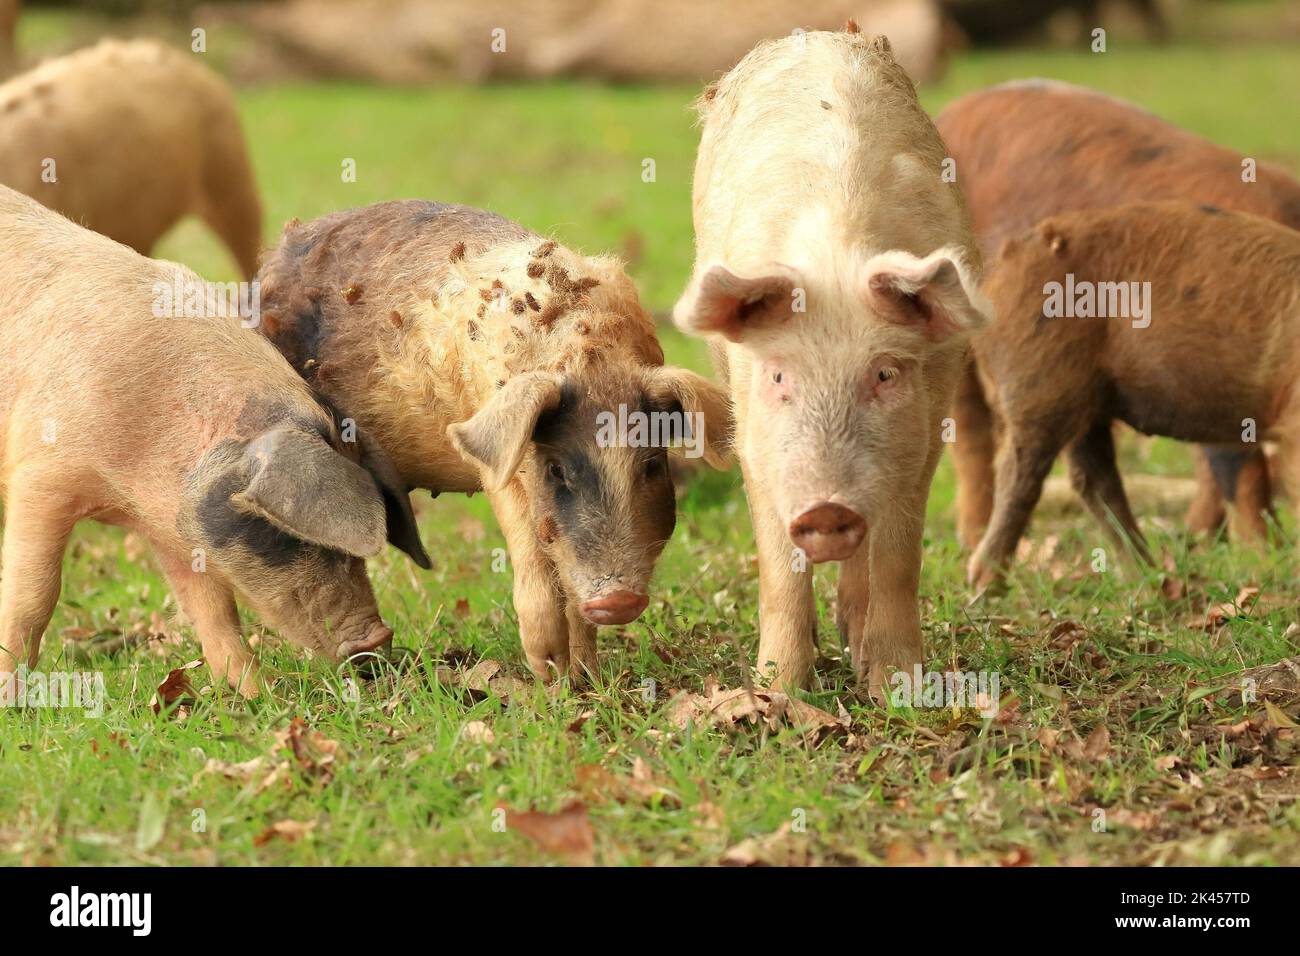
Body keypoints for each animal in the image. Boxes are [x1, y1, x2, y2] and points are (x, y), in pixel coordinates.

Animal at [0, 184, 424, 697]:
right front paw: (9, 697)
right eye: (285, 533)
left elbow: (213, 609)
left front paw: (255, 698)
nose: (377, 639)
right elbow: (33, 595)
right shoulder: (41, 478)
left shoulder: (177, 525)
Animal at [255, 200, 733, 680]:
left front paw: (584, 680)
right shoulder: (498, 462)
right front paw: (548, 674)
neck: (590, 358)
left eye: (651, 463)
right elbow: (534, 565)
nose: (616, 602)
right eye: (556, 468)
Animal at [672, 29, 990, 696]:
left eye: (885, 374)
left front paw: (897, 688)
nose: (825, 509)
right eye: (779, 375)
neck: (834, 254)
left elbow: (898, 554)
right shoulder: (755, 434)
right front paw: (779, 690)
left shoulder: (930, 420)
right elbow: (778, 565)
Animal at [937, 79, 1300, 547]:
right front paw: (1259, 548)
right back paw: (971, 536)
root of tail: (950, 111)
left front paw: (1202, 539)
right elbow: (1239, 468)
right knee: (970, 433)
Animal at [966, 200, 1300, 588]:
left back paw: (1149, 576)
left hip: (1088, 399)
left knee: (1092, 477)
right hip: (1040, 381)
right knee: (1019, 472)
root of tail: (1001, 269)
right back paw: (985, 585)